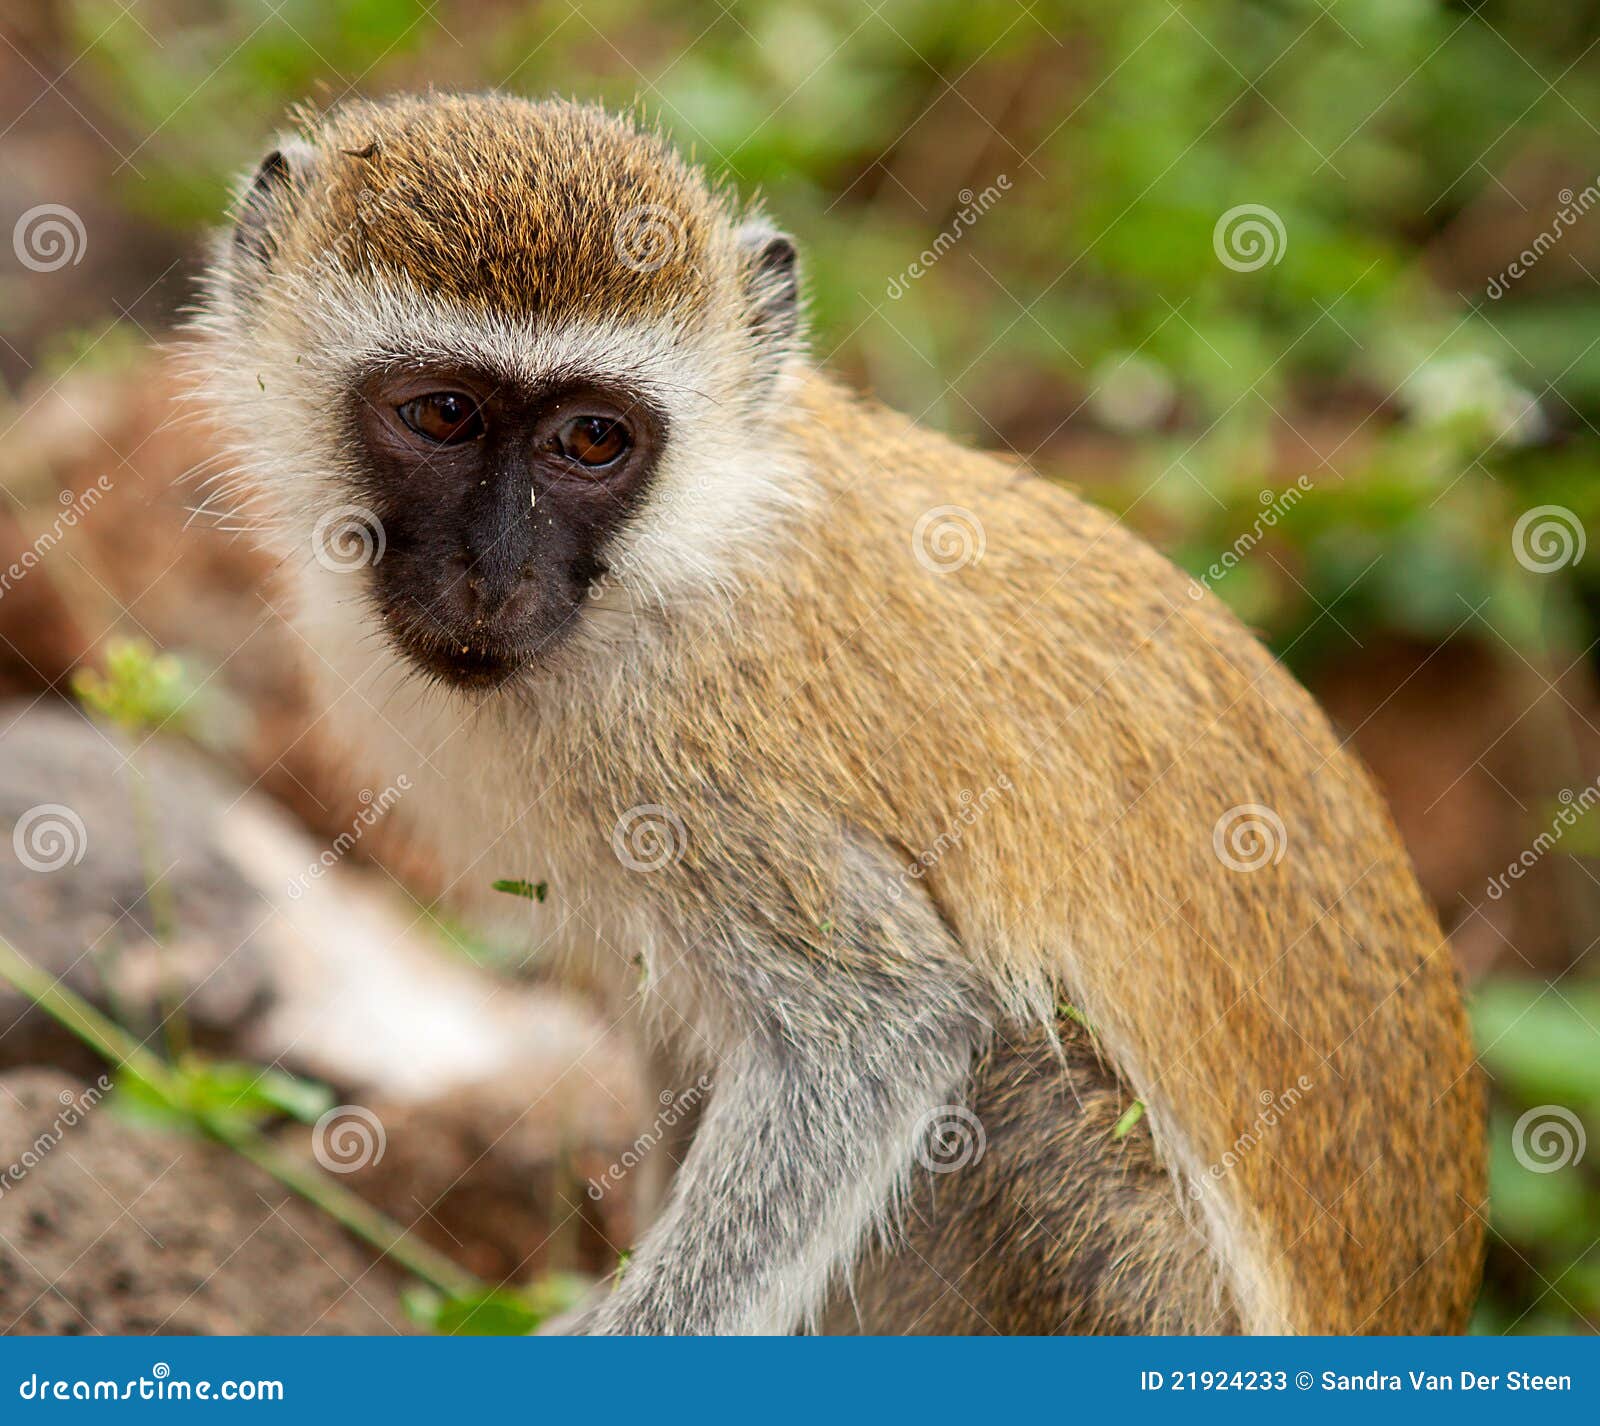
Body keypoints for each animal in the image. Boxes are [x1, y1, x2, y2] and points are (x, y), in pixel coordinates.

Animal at [189, 92, 1486, 1335]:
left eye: (592, 438)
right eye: (443, 414)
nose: (492, 576)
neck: (679, 549)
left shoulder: (686, 757)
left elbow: (880, 1031)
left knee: (1019, 1086)